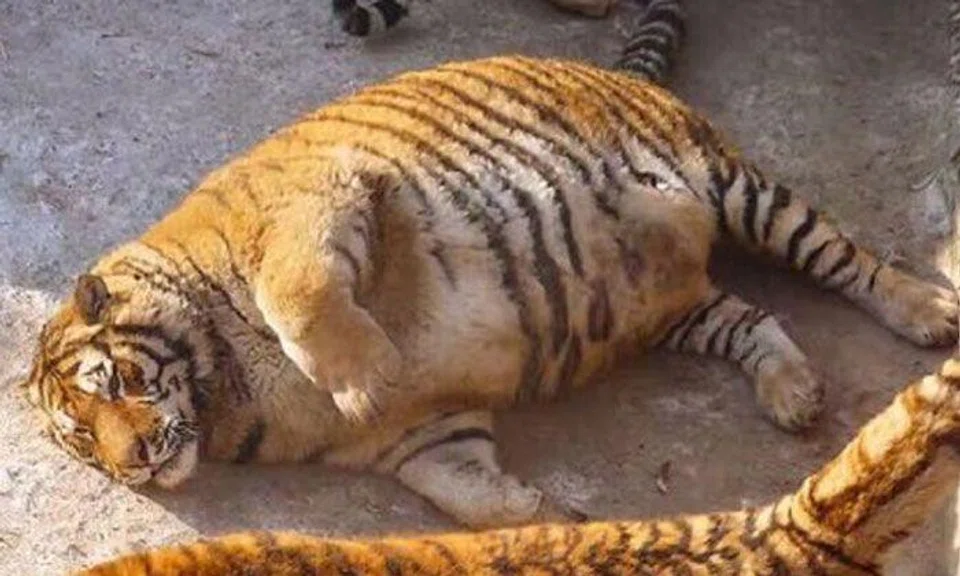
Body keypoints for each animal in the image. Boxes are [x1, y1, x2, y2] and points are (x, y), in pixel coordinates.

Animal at [20, 0, 958, 530]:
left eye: (115, 382)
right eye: (83, 436)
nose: (136, 463)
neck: (227, 396)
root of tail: (608, 67)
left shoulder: (318, 205)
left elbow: (302, 297)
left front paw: (366, 375)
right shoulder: (421, 437)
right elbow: (464, 494)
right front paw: (541, 517)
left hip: (737, 189)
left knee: (847, 261)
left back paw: (928, 312)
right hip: (676, 310)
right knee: (753, 318)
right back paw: (794, 395)